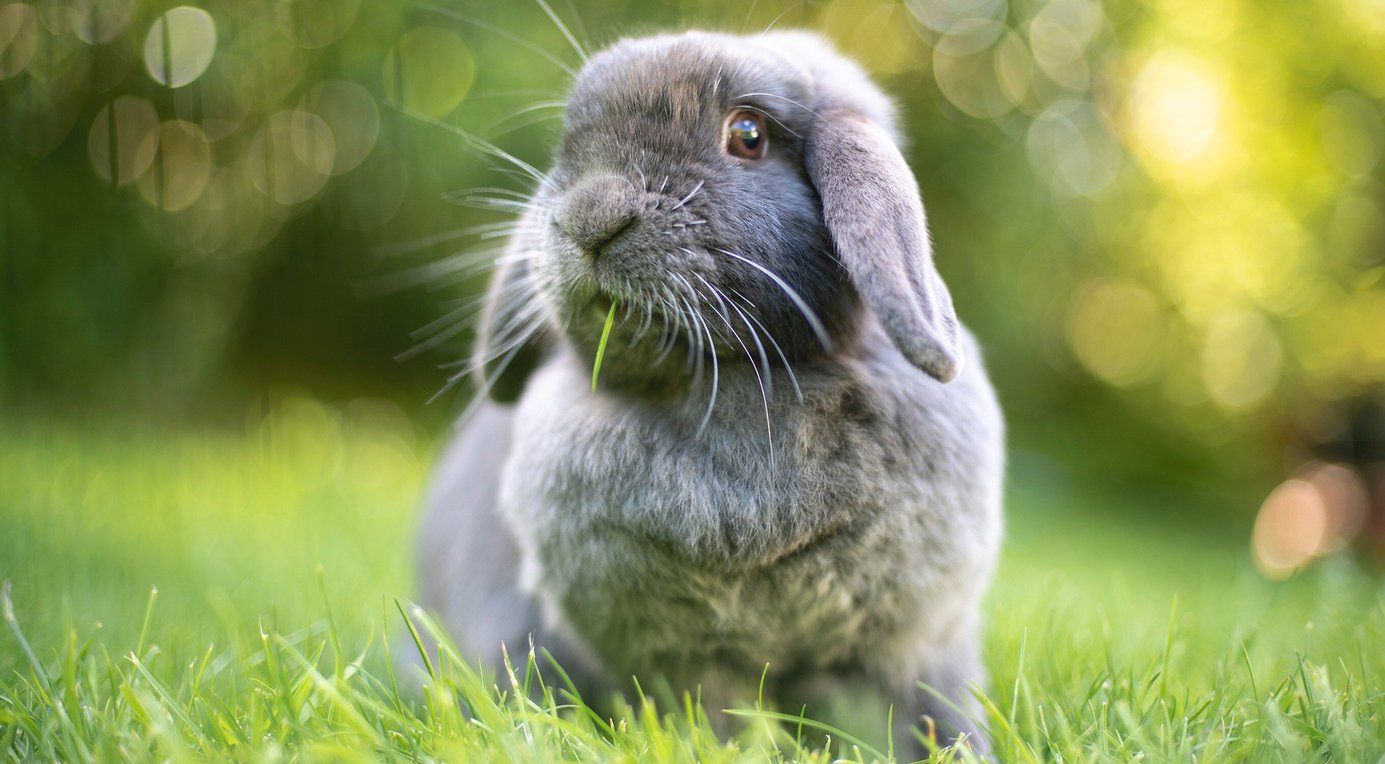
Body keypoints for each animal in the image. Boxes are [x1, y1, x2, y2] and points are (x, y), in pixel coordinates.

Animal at [415, 29, 1005, 757]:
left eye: (747, 135)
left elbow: (928, 711)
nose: (589, 217)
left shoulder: (916, 641)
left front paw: (958, 751)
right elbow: (709, 716)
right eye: (568, 143)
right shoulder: (679, 657)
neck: (737, 380)